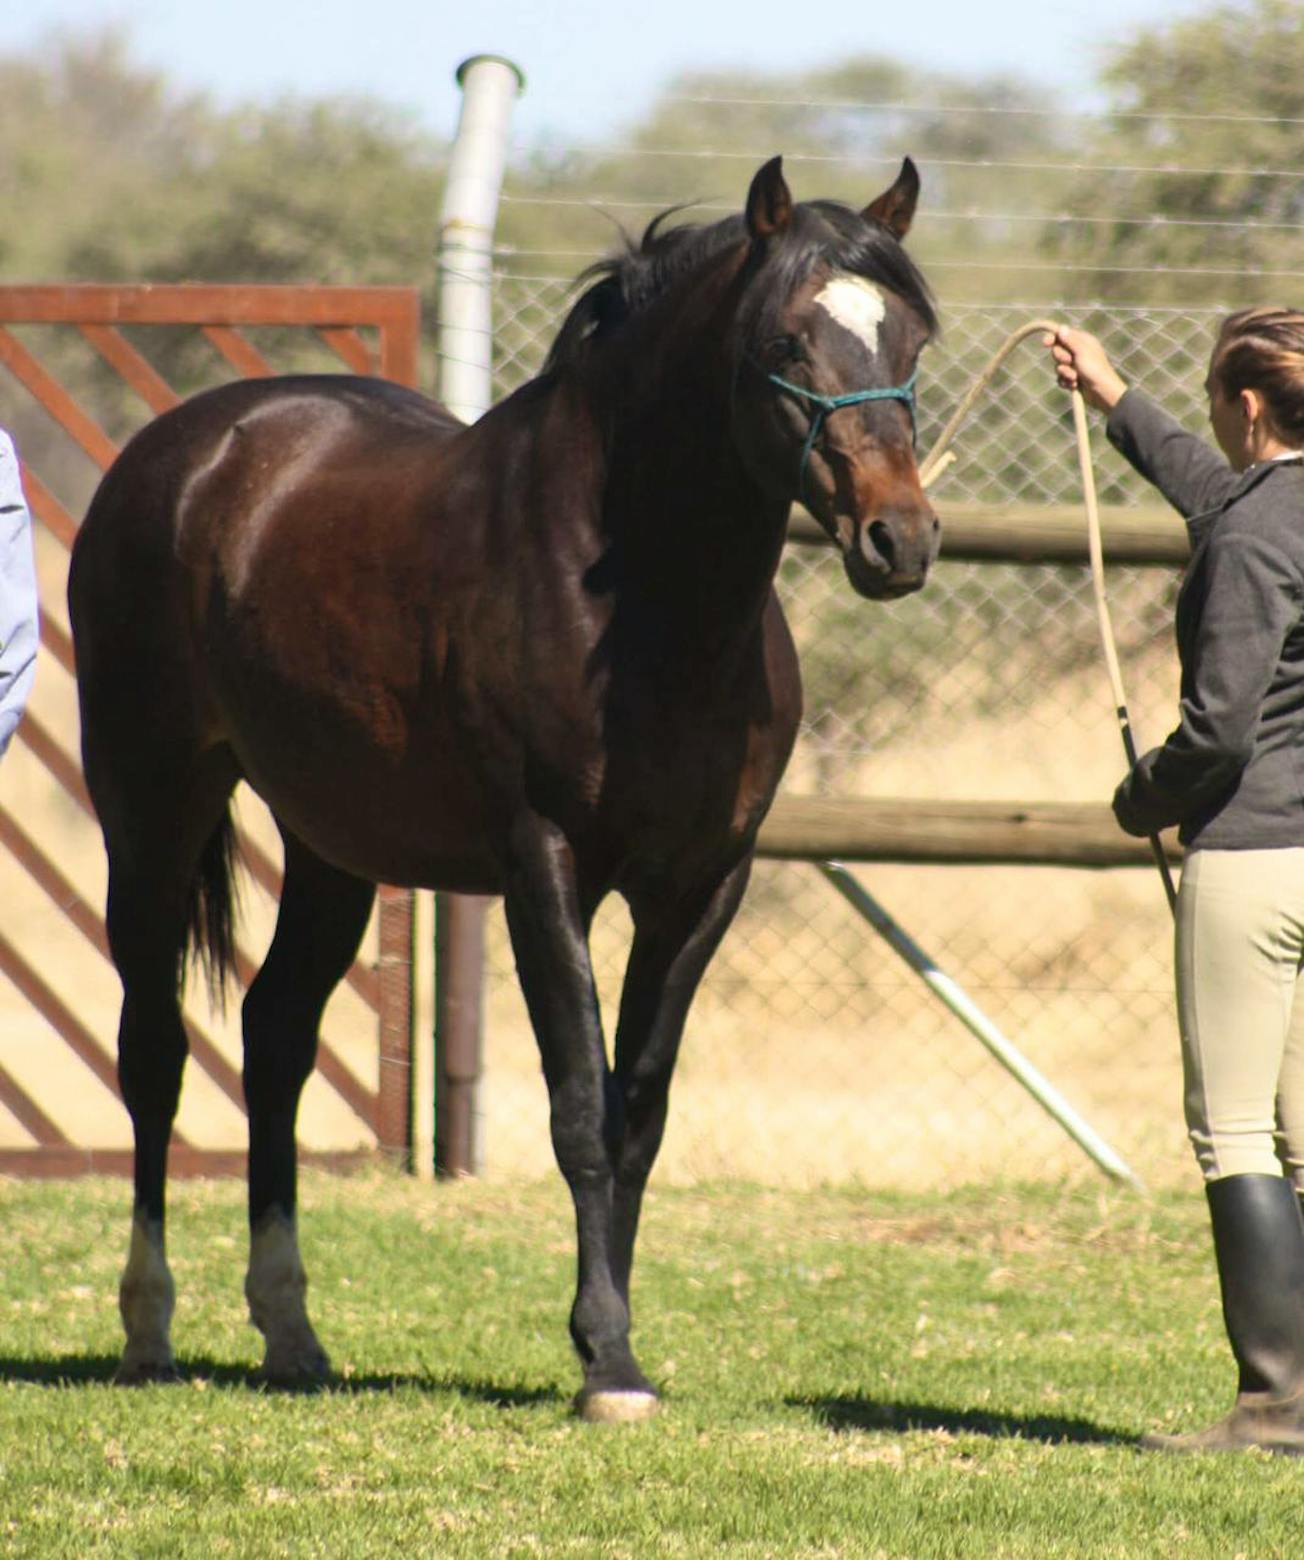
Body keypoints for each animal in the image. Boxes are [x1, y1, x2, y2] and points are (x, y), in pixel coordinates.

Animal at [67, 154, 938, 1420]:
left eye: (911, 338)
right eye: (784, 338)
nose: (899, 540)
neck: (645, 607)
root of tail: (186, 449)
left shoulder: (700, 887)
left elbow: (638, 1114)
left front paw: (613, 1346)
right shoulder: (542, 868)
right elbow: (578, 1105)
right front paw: (605, 1363)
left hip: (331, 842)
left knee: (276, 1038)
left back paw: (291, 1333)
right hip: (150, 802)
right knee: (154, 1054)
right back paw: (149, 1331)